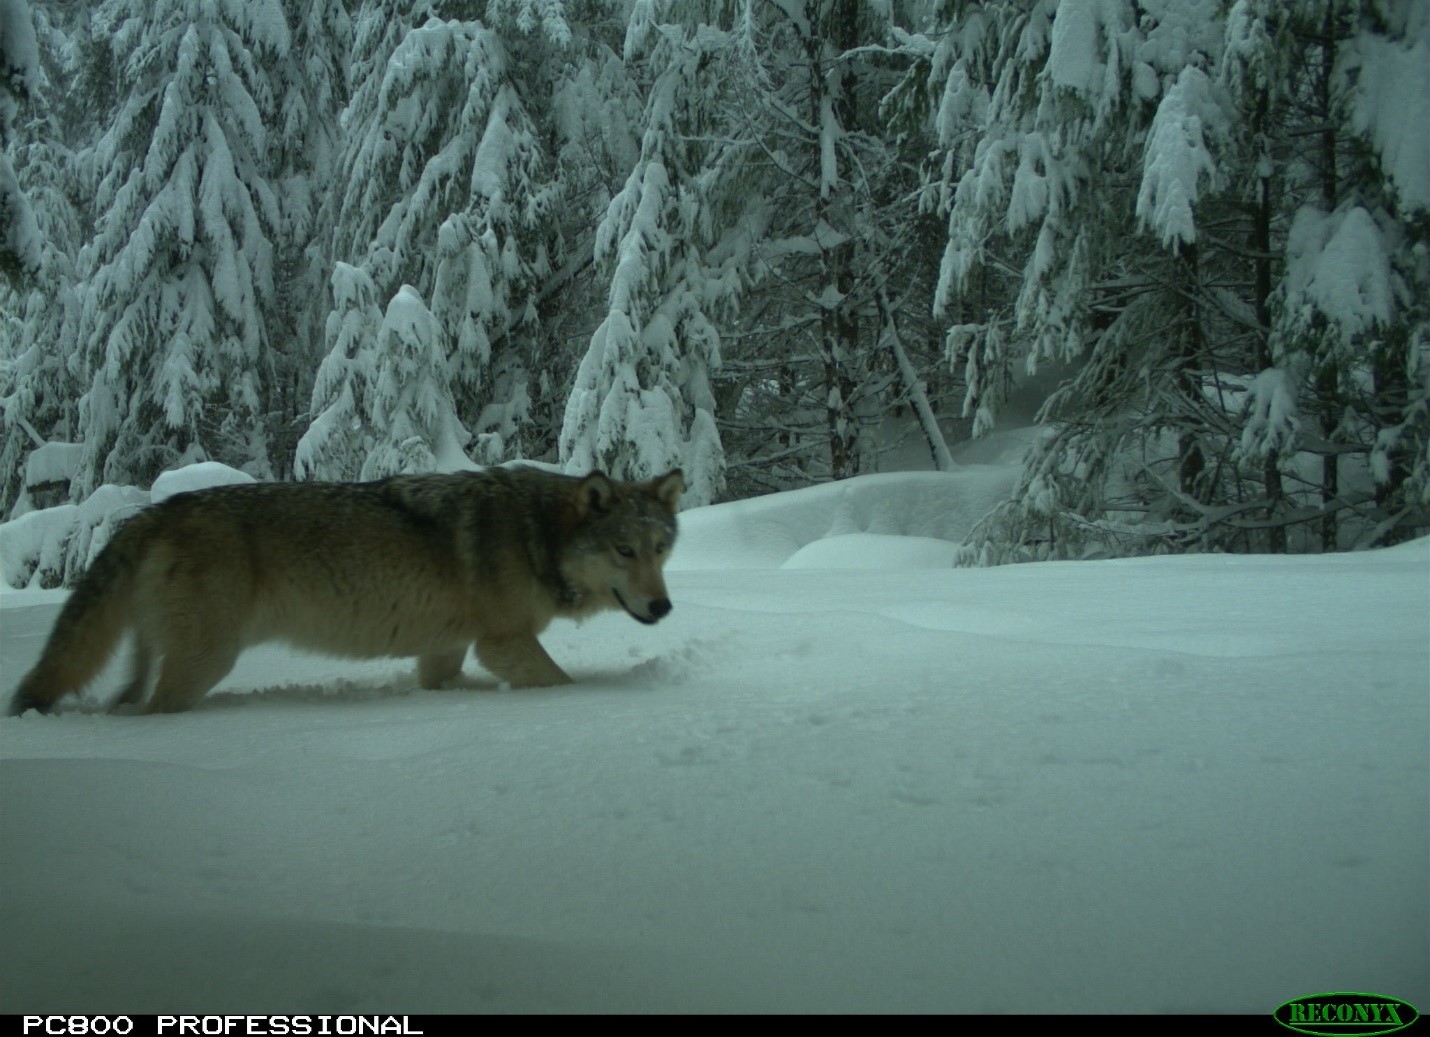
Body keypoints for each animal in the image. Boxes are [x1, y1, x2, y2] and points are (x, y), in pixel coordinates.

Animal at [7, 466, 684, 715]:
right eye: (624, 551)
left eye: (661, 548)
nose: (663, 606)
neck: (533, 534)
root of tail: (156, 511)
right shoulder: (503, 642)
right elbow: (559, 683)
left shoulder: (445, 649)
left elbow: (441, 683)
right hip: (206, 661)